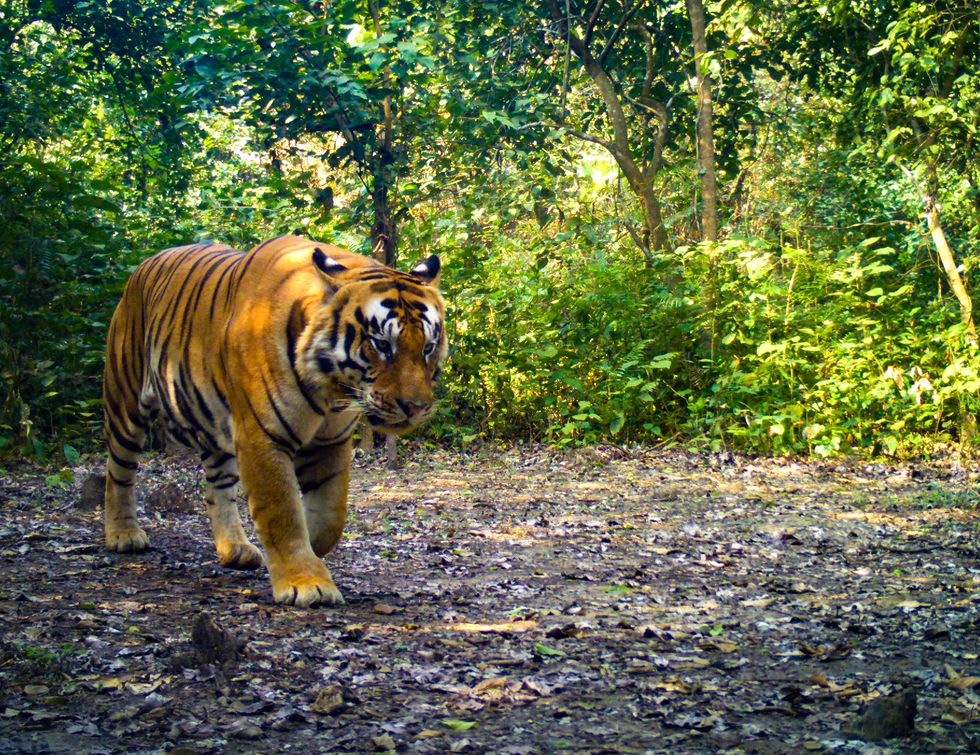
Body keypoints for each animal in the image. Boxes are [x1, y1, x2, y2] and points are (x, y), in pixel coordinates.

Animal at [101, 234, 447, 607]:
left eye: (428, 346)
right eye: (382, 344)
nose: (416, 407)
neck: (331, 388)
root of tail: (144, 266)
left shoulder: (331, 441)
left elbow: (330, 516)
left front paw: (307, 552)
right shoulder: (262, 435)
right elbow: (282, 510)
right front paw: (306, 581)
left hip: (216, 430)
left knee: (218, 487)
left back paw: (235, 549)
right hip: (126, 402)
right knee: (119, 471)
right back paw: (124, 534)